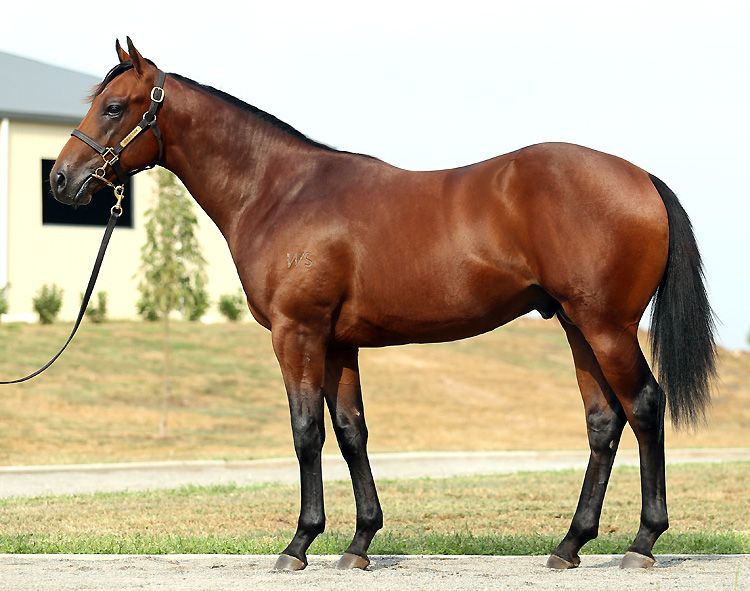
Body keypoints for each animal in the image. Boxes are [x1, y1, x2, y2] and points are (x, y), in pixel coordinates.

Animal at [50, 38, 715, 571]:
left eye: (114, 107)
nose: (60, 179)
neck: (281, 192)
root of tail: (641, 177)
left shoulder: (297, 334)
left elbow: (306, 432)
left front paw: (299, 544)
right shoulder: (339, 343)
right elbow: (351, 433)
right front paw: (358, 543)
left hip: (607, 326)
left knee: (644, 406)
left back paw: (642, 543)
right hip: (578, 326)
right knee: (604, 421)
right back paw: (569, 546)